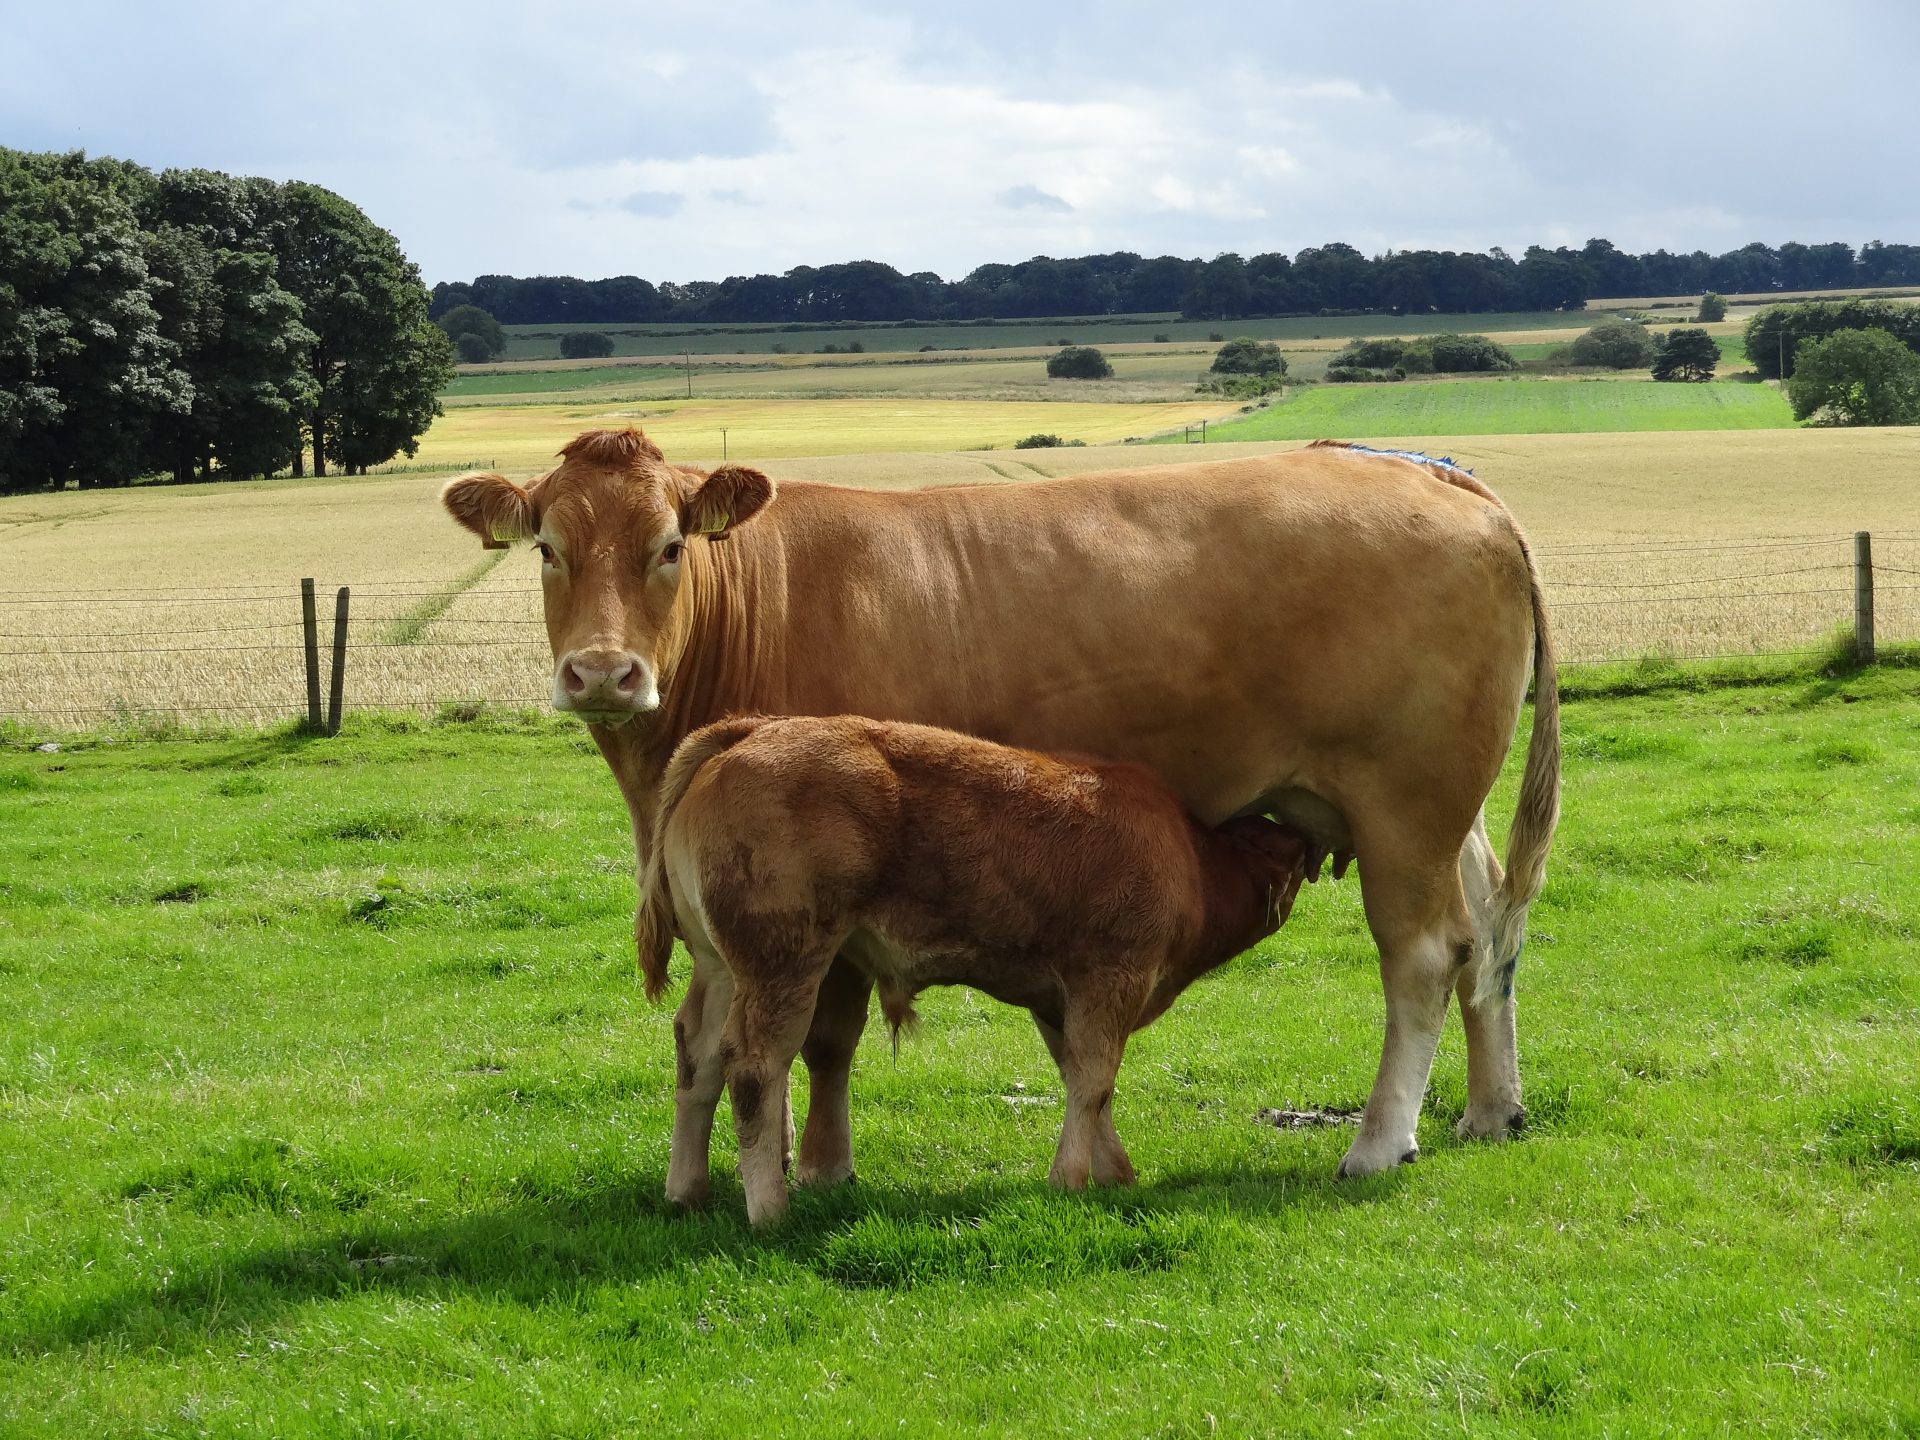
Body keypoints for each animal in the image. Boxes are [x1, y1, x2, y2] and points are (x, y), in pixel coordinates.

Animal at [635, 713, 1313, 1224]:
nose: (1306, 845)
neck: (1192, 858)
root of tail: (749, 732)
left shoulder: (1058, 999)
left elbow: (1081, 1078)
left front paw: (1115, 1173)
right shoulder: (1111, 978)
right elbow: (1094, 1080)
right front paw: (1068, 1180)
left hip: (722, 970)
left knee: (698, 1055)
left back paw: (686, 1191)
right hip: (783, 968)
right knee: (753, 1066)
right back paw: (770, 1211)